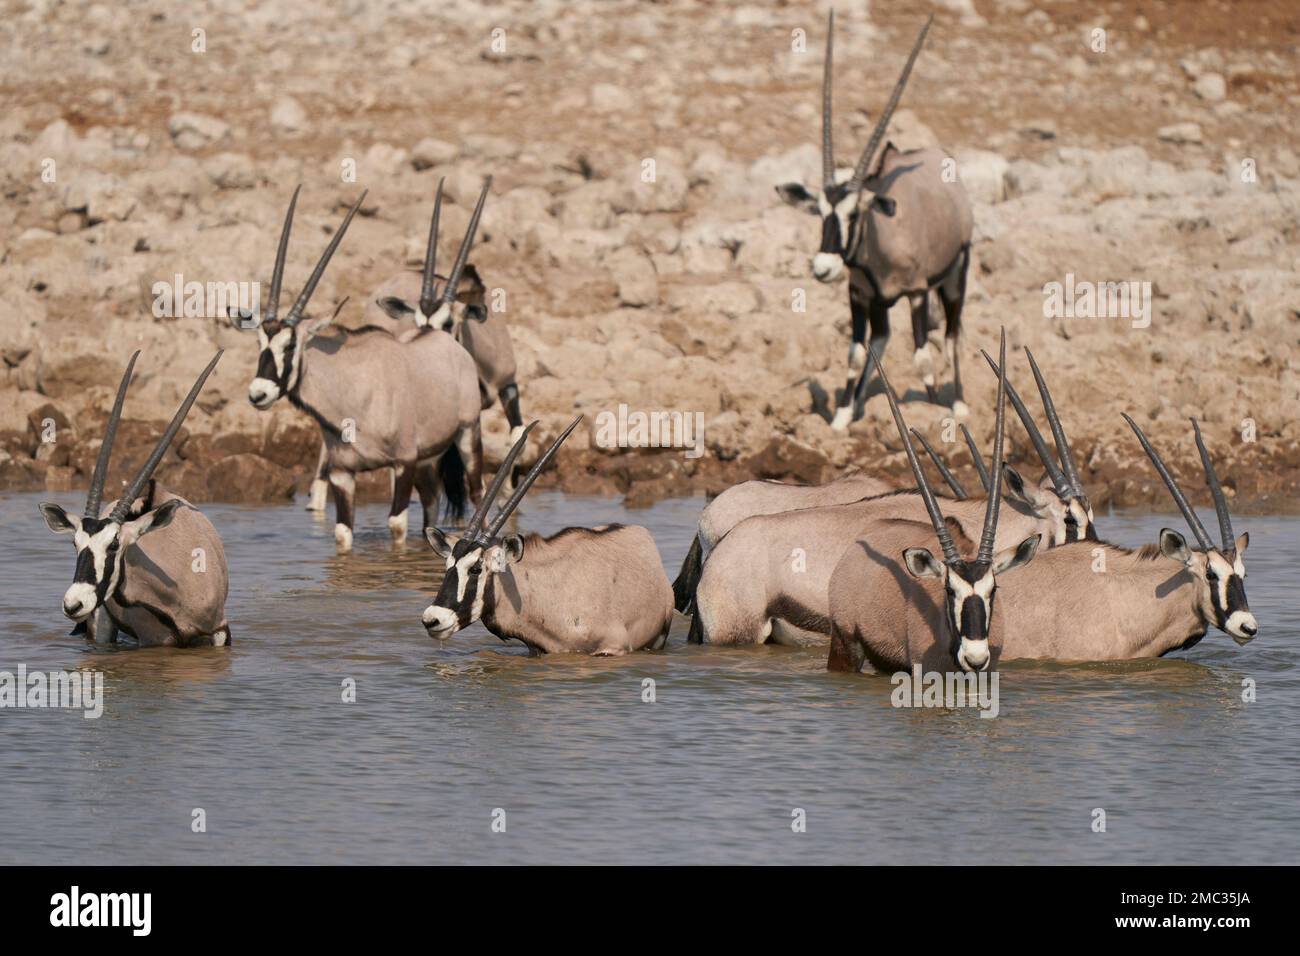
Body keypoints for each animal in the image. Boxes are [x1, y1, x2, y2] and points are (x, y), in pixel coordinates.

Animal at [38, 351, 231, 648]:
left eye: (114, 545)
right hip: (102, 623)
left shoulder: (220, 629)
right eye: (75, 543)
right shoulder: (156, 640)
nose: (73, 604)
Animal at [247, 187, 484, 552]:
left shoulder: (403, 462)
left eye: (290, 345)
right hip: (428, 459)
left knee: (477, 492)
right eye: (260, 344)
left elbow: (397, 525)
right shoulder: (343, 474)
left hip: (467, 434)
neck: (352, 393)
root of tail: (446, 342)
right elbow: (343, 532)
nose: (258, 393)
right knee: (431, 504)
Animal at [777, 12, 973, 430]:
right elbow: (855, 352)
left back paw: (959, 404)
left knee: (951, 336)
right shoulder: (859, 294)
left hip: (955, 274)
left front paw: (934, 407)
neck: (881, 239)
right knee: (880, 339)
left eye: (854, 214)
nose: (823, 267)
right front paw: (840, 418)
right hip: (882, 304)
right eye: (820, 213)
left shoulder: (917, 292)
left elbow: (922, 358)